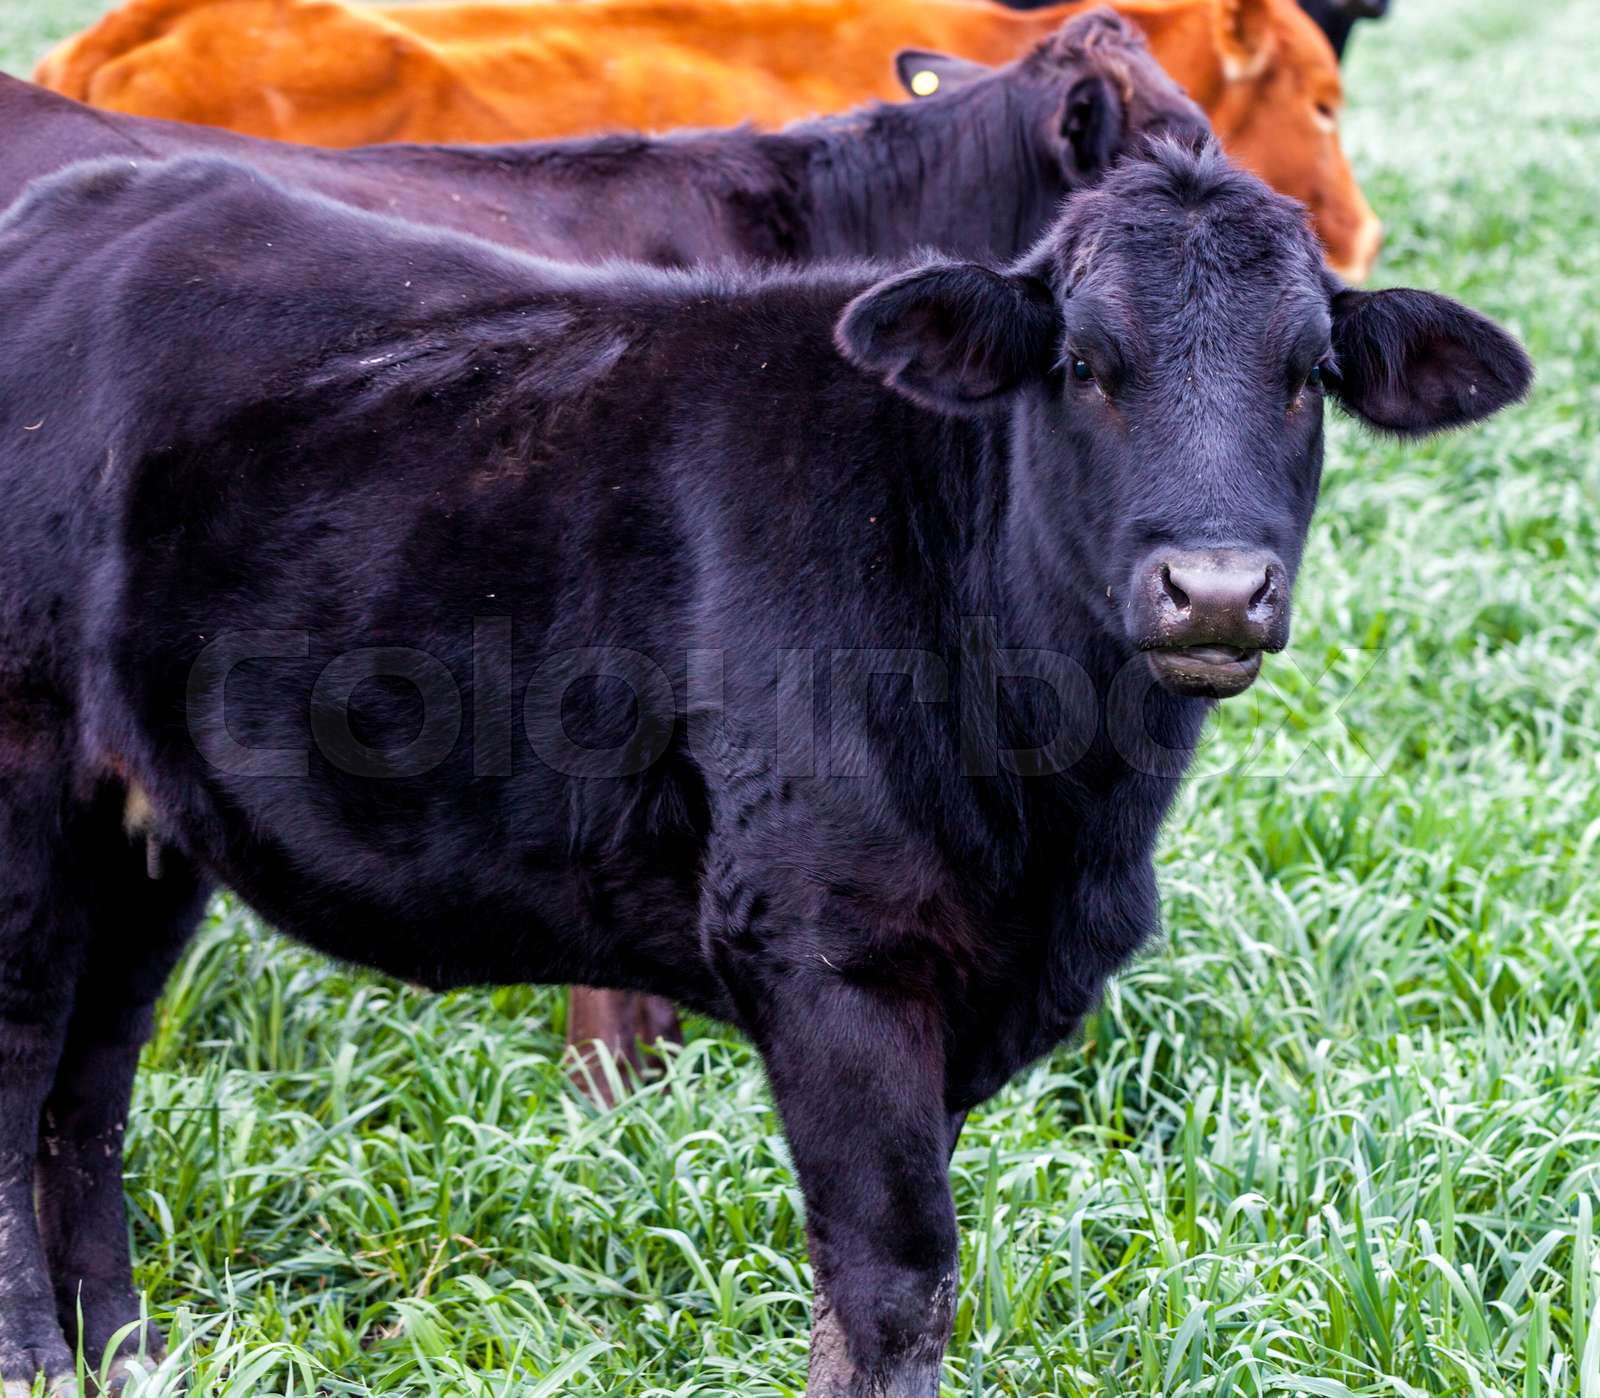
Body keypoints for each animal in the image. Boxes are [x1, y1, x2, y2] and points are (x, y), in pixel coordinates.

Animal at [0, 146, 1528, 1395]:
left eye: (1305, 373)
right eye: (1087, 365)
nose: (1213, 590)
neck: (1063, 816)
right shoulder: (828, 947)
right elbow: (896, 1284)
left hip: (144, 832)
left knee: (89, 1087)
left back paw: (126, 1356)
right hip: (22, 784)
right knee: (21, 1067)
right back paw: (37, 1360)